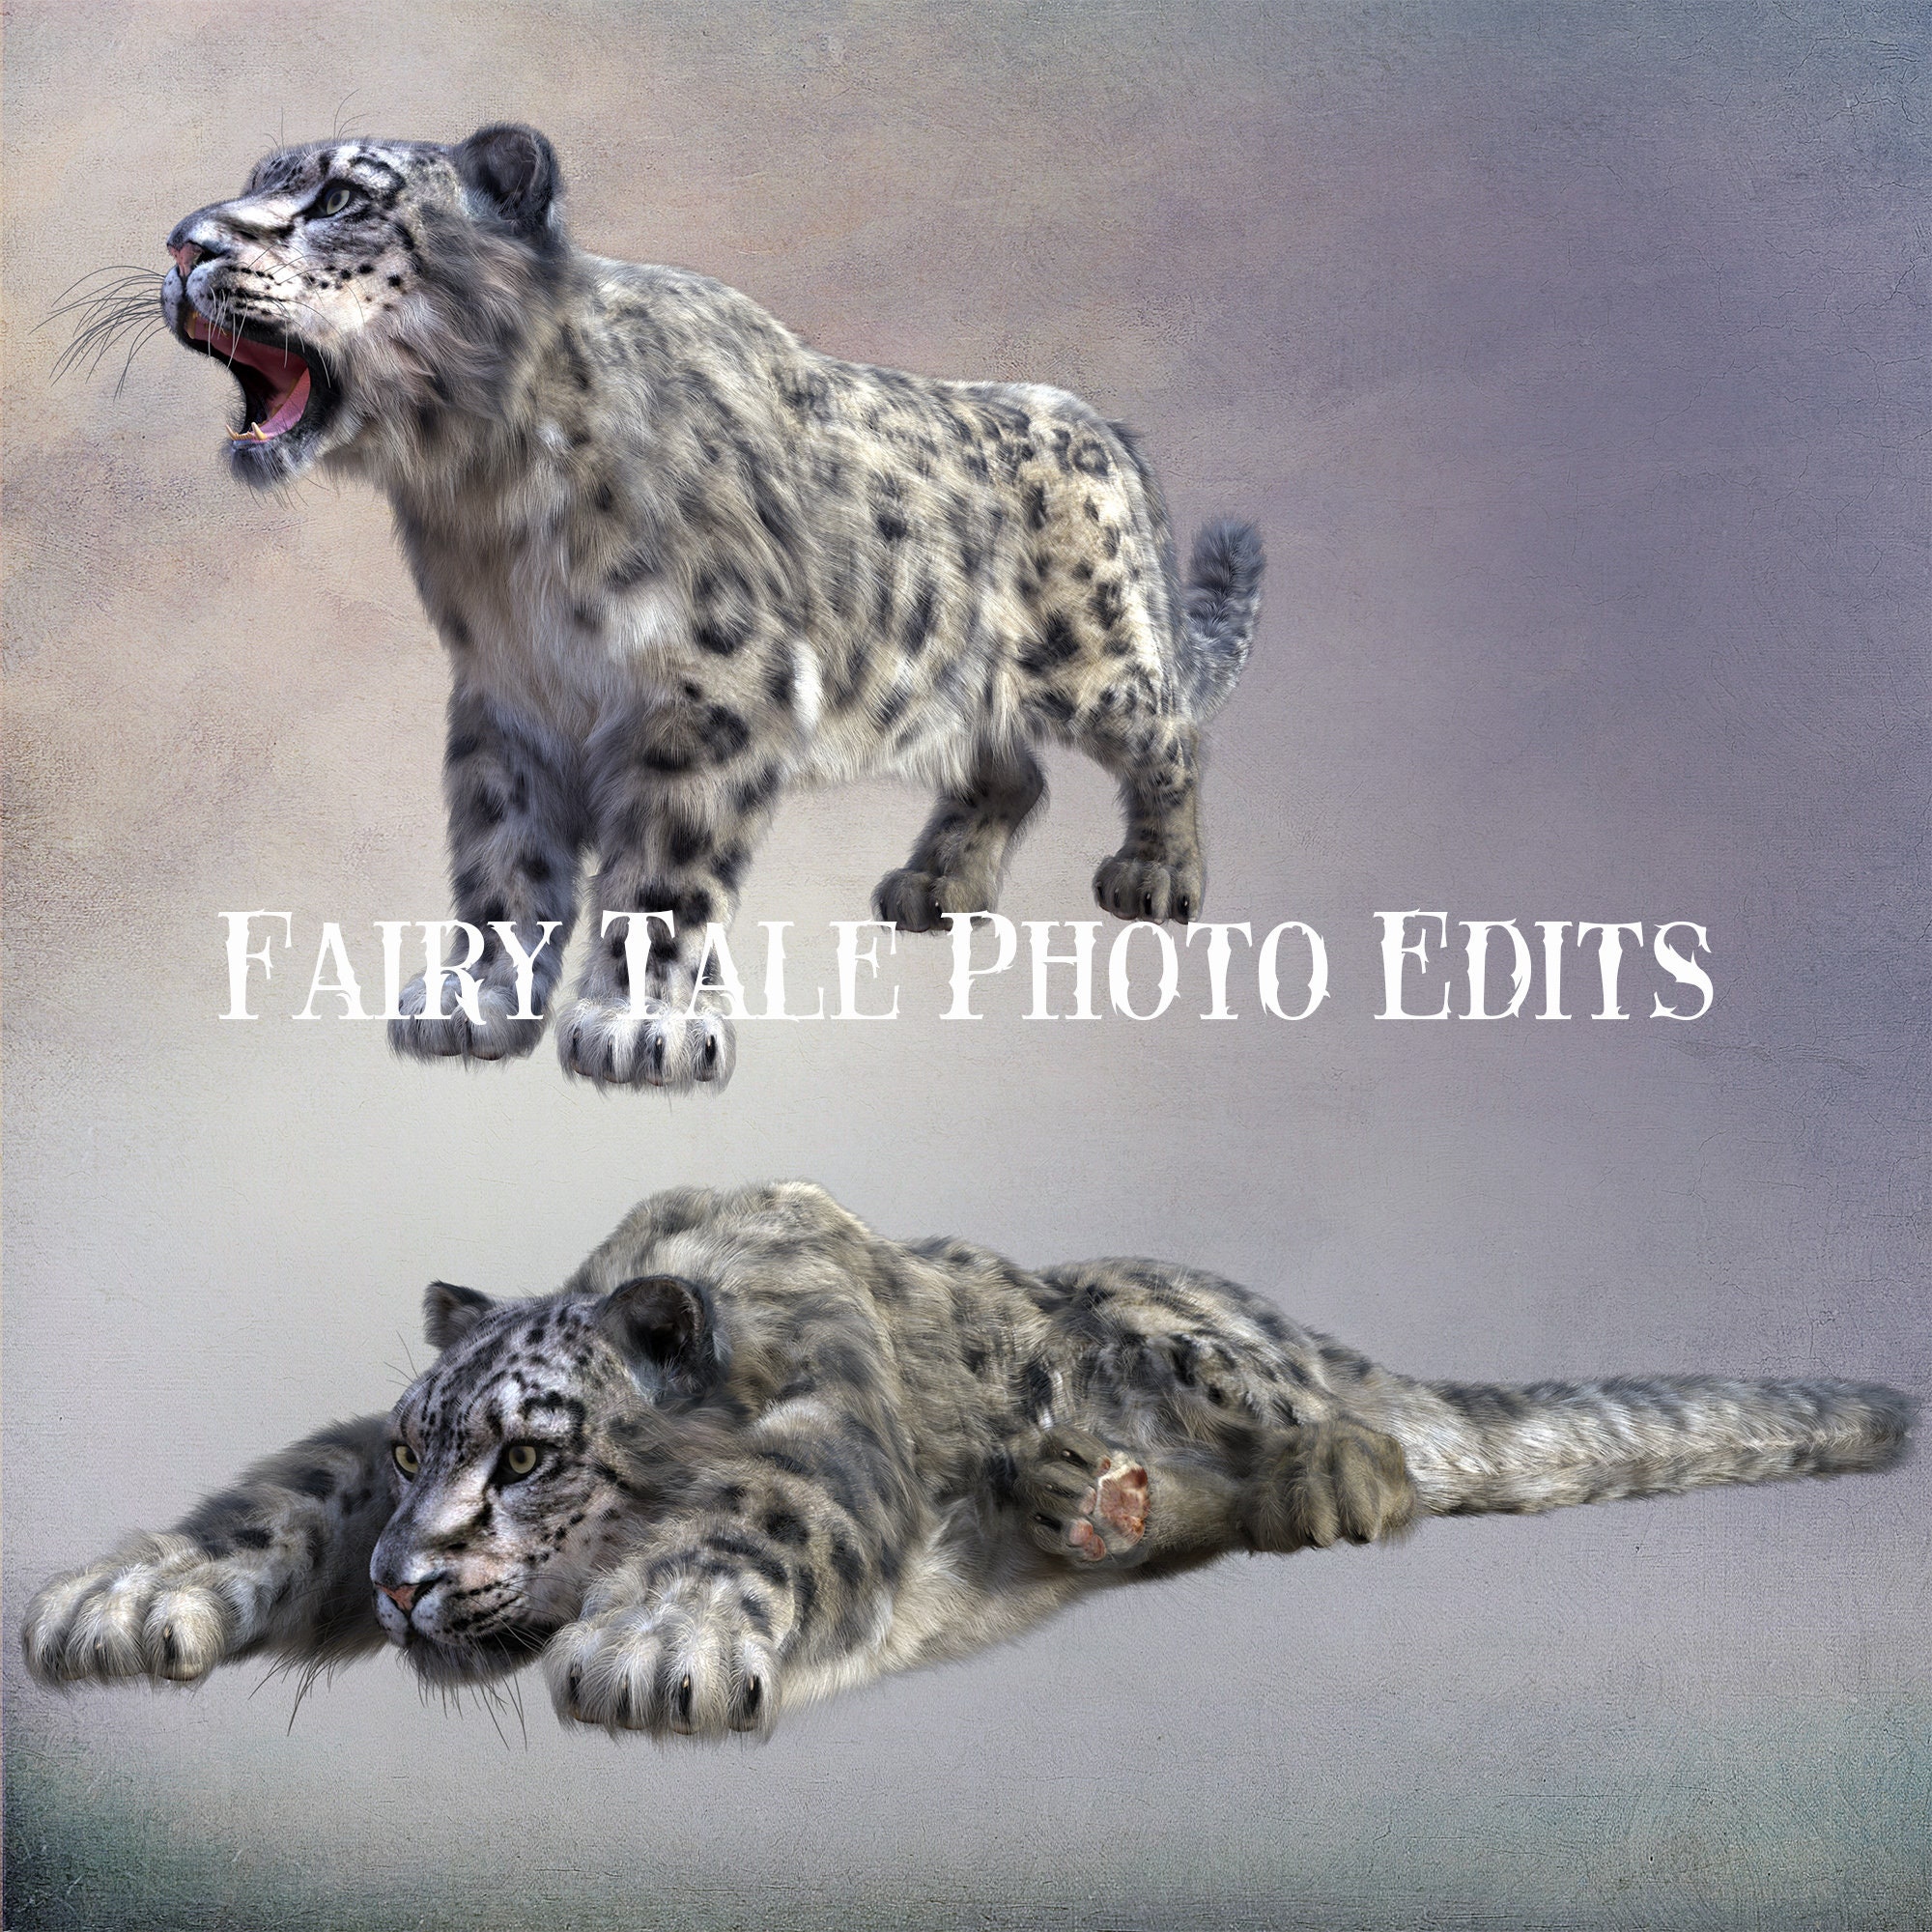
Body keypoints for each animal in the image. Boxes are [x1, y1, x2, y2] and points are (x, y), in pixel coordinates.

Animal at [24, 1183, 1913, 1740]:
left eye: (534, 1459)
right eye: (423, 1448)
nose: (407, 1585)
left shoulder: (823, 1445)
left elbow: (764, 1514)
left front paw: (659, 1647)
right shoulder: (346, 1465)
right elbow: (287, 1481)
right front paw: (122, 1596)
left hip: (1177, 1332)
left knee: (1359, 1431)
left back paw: (1297, 1478)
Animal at [145, 123, 1265, 1091]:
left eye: (341, 198)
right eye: (261, 177)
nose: (183, 241)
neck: (483, 506)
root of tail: (1104, 427)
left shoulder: (705, 694)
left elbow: (661, 876)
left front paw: (642, 1027)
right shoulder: (508, 700)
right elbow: (501, 860)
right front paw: (476, 1000)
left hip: (1098, 661)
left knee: (1171, 736)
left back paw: (1152, 876)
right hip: (948, 687)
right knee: (1011, 770)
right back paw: (936, 888)